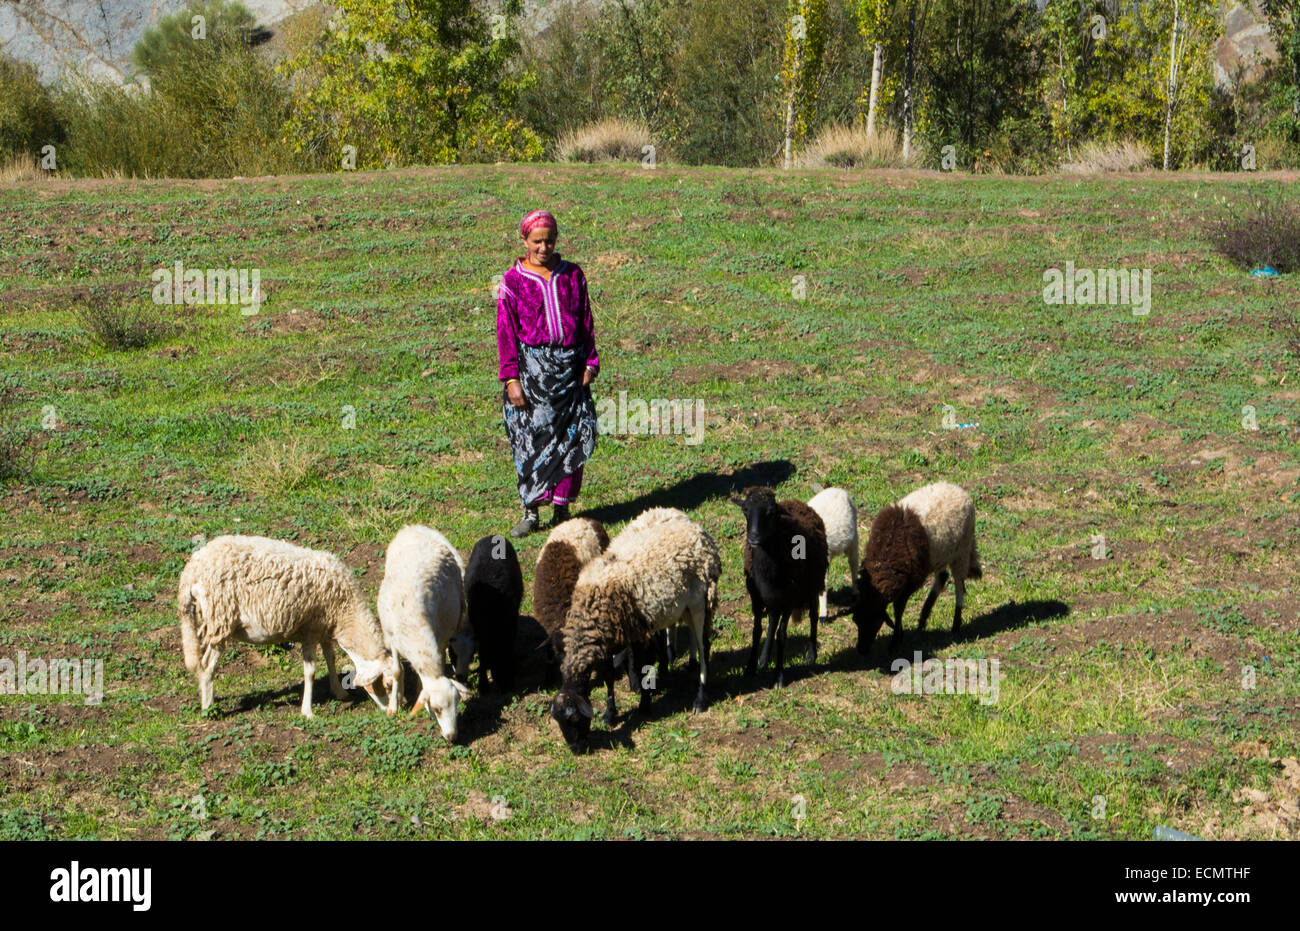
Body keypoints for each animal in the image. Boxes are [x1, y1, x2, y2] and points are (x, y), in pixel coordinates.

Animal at [177, 535, 396, 718]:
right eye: (387, 684)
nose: (392, 712)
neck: (345, 612)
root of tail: (190, 571)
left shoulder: (324, 627)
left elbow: (330, 657)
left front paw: (339, 692)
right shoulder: (310, 630)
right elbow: (310, 671)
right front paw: (307, 712)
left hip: (208, 622)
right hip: (220, 618)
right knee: (208, 665)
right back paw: (209, 709)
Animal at [377, 524, 475, 741]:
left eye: (457, 706)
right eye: (436, 709)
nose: (452, 737)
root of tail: (415, 527)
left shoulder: (441, 636)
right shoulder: (393, 638)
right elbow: (397, 670)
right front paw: (393, 706)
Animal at [550, 511, 720, 751]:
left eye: (574, 718)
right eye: (558, 721)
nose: (576, 749)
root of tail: (697, 529)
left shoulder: (638, 633)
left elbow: (640, 667)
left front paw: (644, 705)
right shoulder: (609, 637)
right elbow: (609, 676)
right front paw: (610, 713)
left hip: (701, 599)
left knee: (705, 646)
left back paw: (700, 698)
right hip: (681, 606)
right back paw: (685, 664)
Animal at [733, 487, 829, 688]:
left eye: (771, 513)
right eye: (745, 509)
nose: (753, 538)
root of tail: (798, 503)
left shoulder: (789, 598)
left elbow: (782, 634)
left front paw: (778, 676)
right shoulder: (757, 595)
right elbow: (757, 631)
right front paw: (751, 667)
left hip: (812, 585)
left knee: (813, 616)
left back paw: (811, 654)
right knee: (772, 619)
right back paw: (763, 658)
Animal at [852, 481, 982, 655]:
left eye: (874, 620)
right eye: (856, 620)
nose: (861, 650)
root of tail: (959, 490)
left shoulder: (910, 581)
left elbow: (898, 609)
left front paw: (896, 640)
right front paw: (899, 636)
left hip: (961, 551)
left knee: (959, 585)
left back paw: (955, 624)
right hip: (939, 554)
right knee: (942, 578)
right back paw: (923, 618)